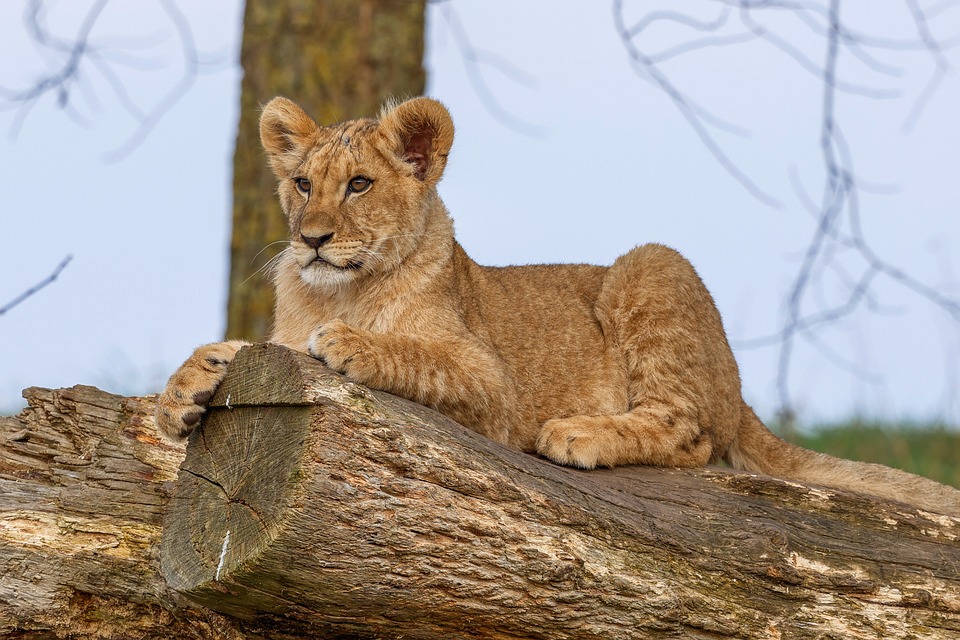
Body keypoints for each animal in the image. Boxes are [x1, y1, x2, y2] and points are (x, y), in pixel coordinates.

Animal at [156, 95, 960, 517]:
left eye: (358, 184)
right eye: (301, 184)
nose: (312, 239)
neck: (345, 284)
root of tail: (738, 388)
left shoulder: (493, 389)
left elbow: (413, 353)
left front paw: (351, 342)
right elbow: (233, 349)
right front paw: (182, 392)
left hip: (651, 264)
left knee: (691, 435)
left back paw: (580, 433)